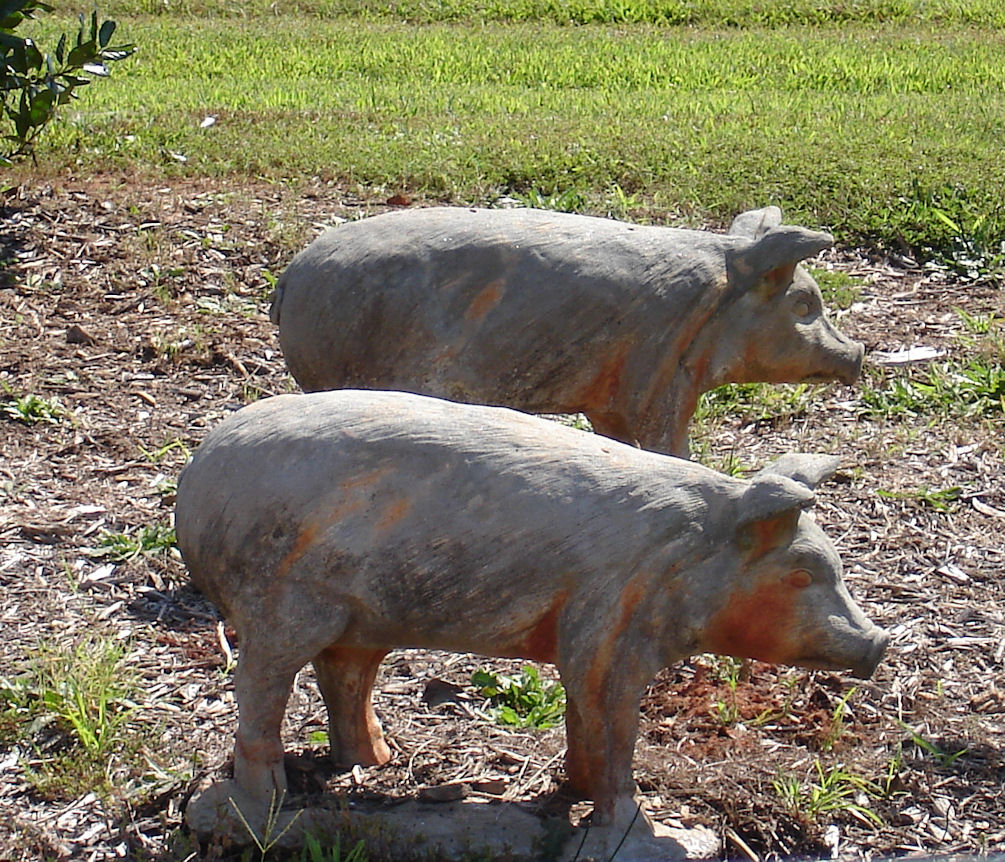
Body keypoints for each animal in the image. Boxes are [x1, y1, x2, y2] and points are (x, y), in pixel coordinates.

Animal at [175, 389, 887, 847]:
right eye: (801, 575)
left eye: (835, 566)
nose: (879, 641)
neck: (683, 565)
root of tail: (198, 469)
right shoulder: (607, 633)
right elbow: (614, 726)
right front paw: (635, 828)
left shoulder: (585, 641)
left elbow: (584, 721)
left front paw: (575, 790)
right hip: (285, 607)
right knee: (258, 686)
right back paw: (263, 801)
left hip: (361, 619)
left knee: (343, 676)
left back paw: (378, 760)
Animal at [269, 205, 864, 457]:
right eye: (805, 303)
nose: (859, 353)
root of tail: (289, 278)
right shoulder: (659, 380)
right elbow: (669, 446)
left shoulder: (610, 398)